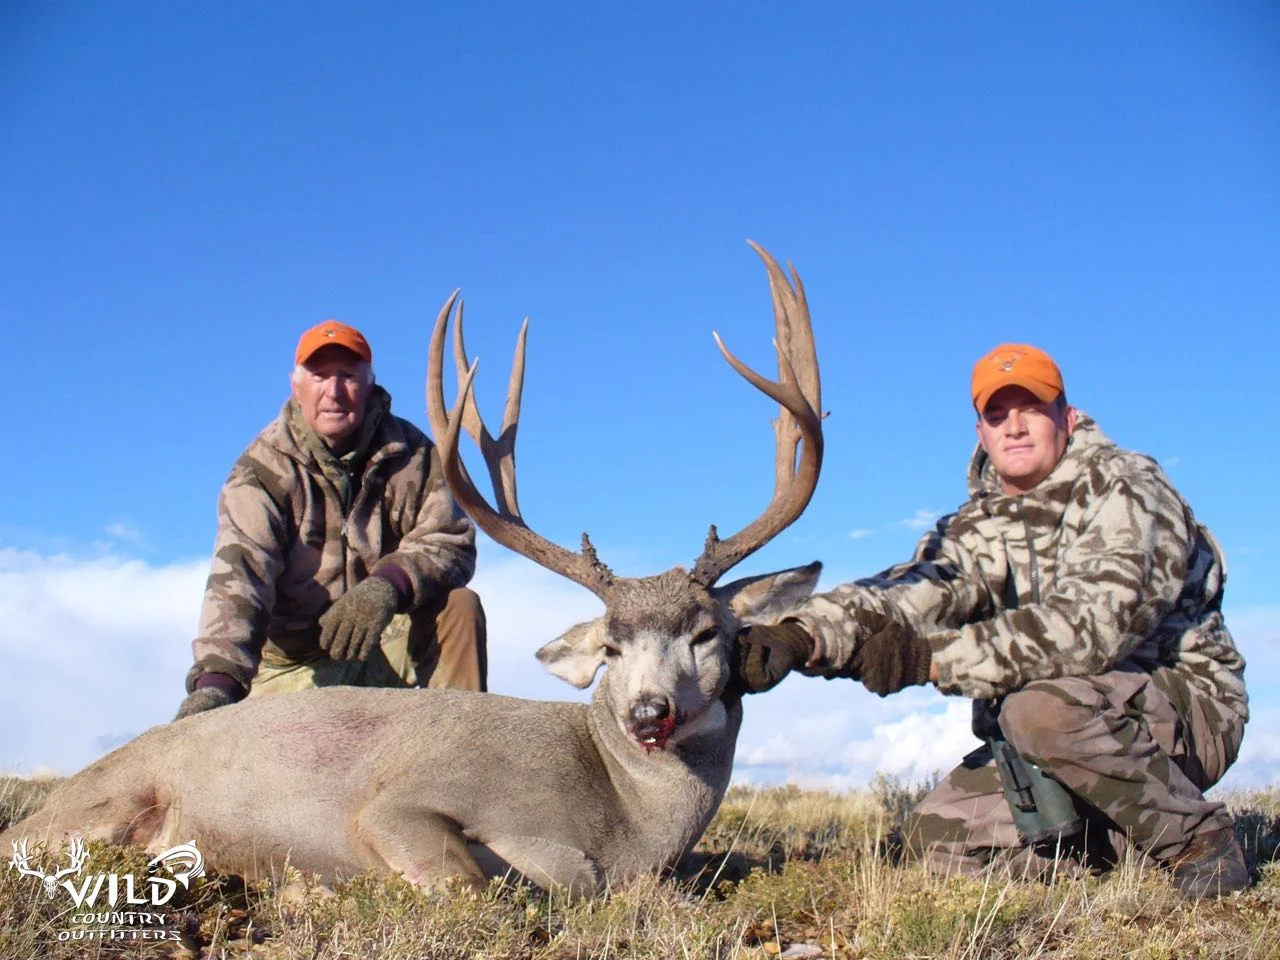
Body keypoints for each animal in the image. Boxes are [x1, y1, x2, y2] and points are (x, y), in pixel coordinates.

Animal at [1, 243, 824, 895]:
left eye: (706, 632)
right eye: (612, 646)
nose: (649, 714)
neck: (619, 817)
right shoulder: (399, 803)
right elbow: (478, 885)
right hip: (101, 806)